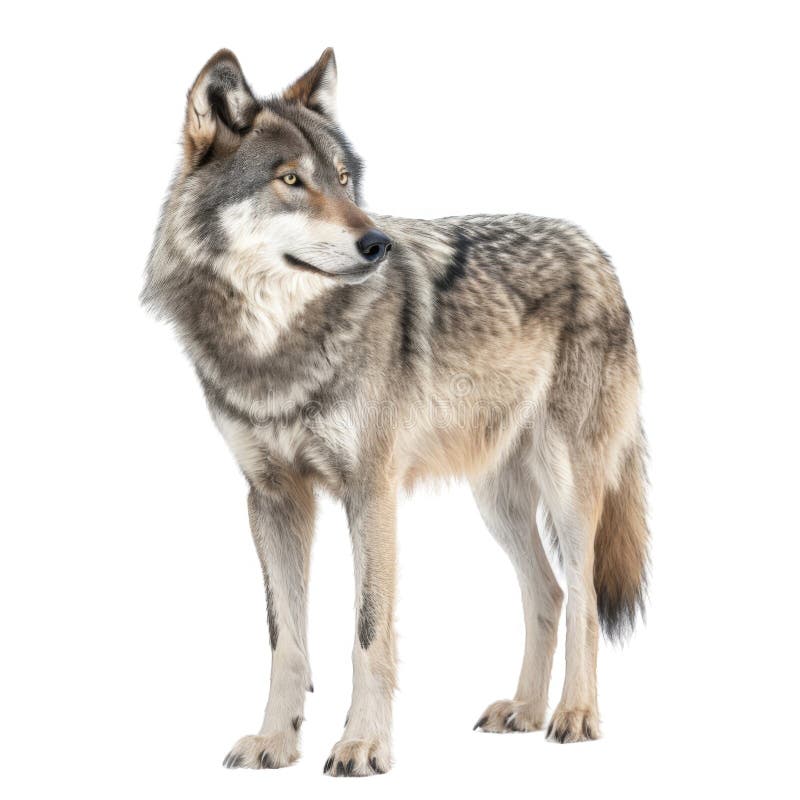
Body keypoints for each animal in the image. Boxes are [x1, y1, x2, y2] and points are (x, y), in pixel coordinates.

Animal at [142, 48, 649, 777]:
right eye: (291, 180)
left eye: (343, 180)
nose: (377, 243)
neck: (278, 349)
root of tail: (598, 254)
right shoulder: (272, 497)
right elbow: (285, 639)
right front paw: (275, 742)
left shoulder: (370, 491)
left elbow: (367, 631)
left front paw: (362, 745)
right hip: (497, 501)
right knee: (546, 594)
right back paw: (524, 711)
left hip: (568, 489)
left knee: (581, 600)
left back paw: (575, 715)